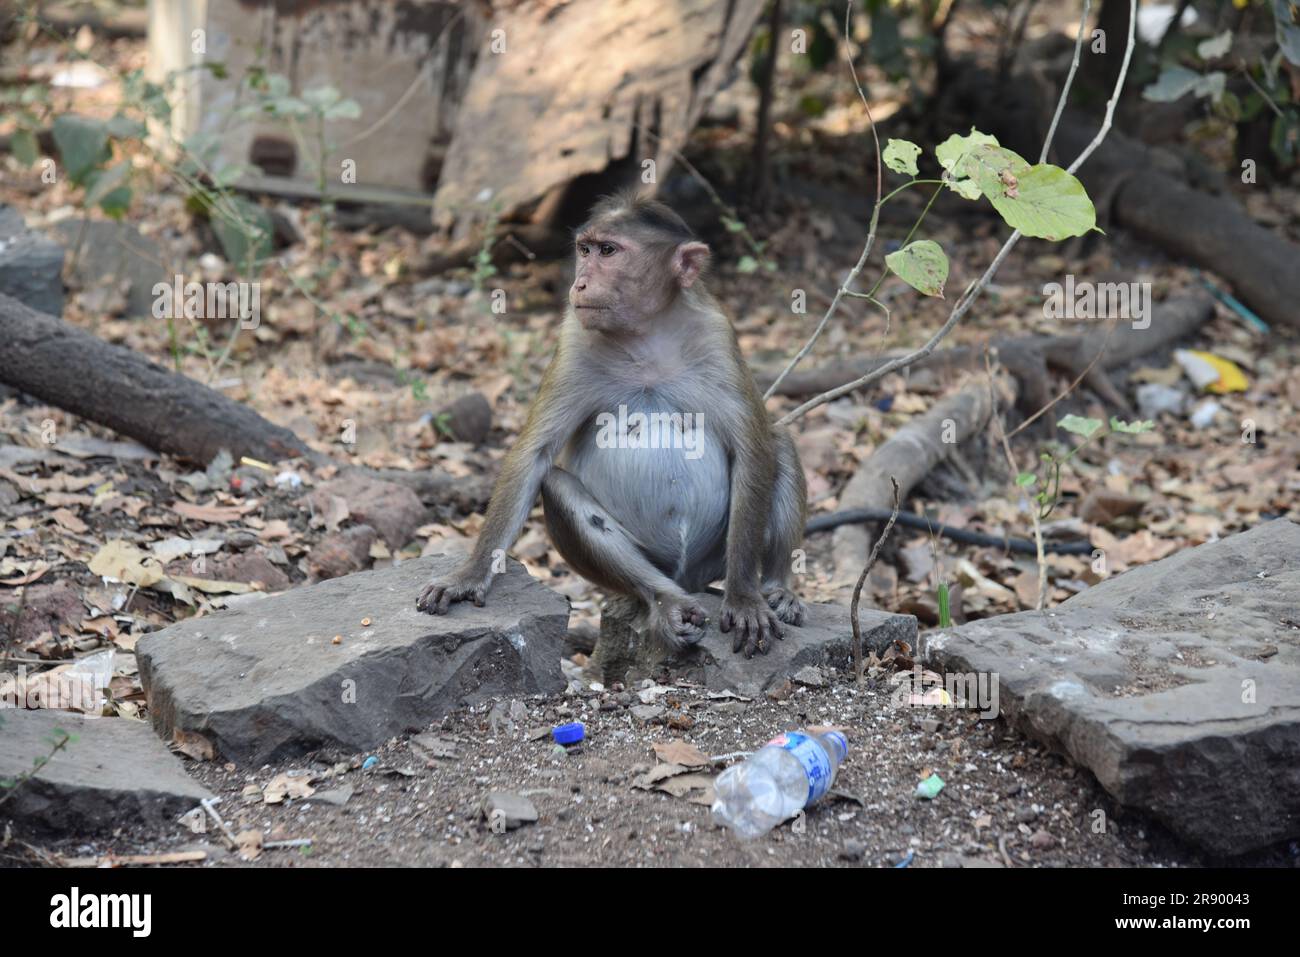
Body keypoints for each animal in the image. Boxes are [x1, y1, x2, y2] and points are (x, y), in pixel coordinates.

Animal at [416, 194, 807, 658]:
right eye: (584, 250)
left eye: (608, 251)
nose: (580, 283)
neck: (648, 335)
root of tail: (688, 578)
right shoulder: (573, 339)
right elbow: (533, 456)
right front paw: (471, 573)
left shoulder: (718, 335)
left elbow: (752, 450)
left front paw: (745, 597)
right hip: (654, 564)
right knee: (559, 486)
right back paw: (665, 601)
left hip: (716, 557)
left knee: (778, 441)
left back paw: (778, 587)